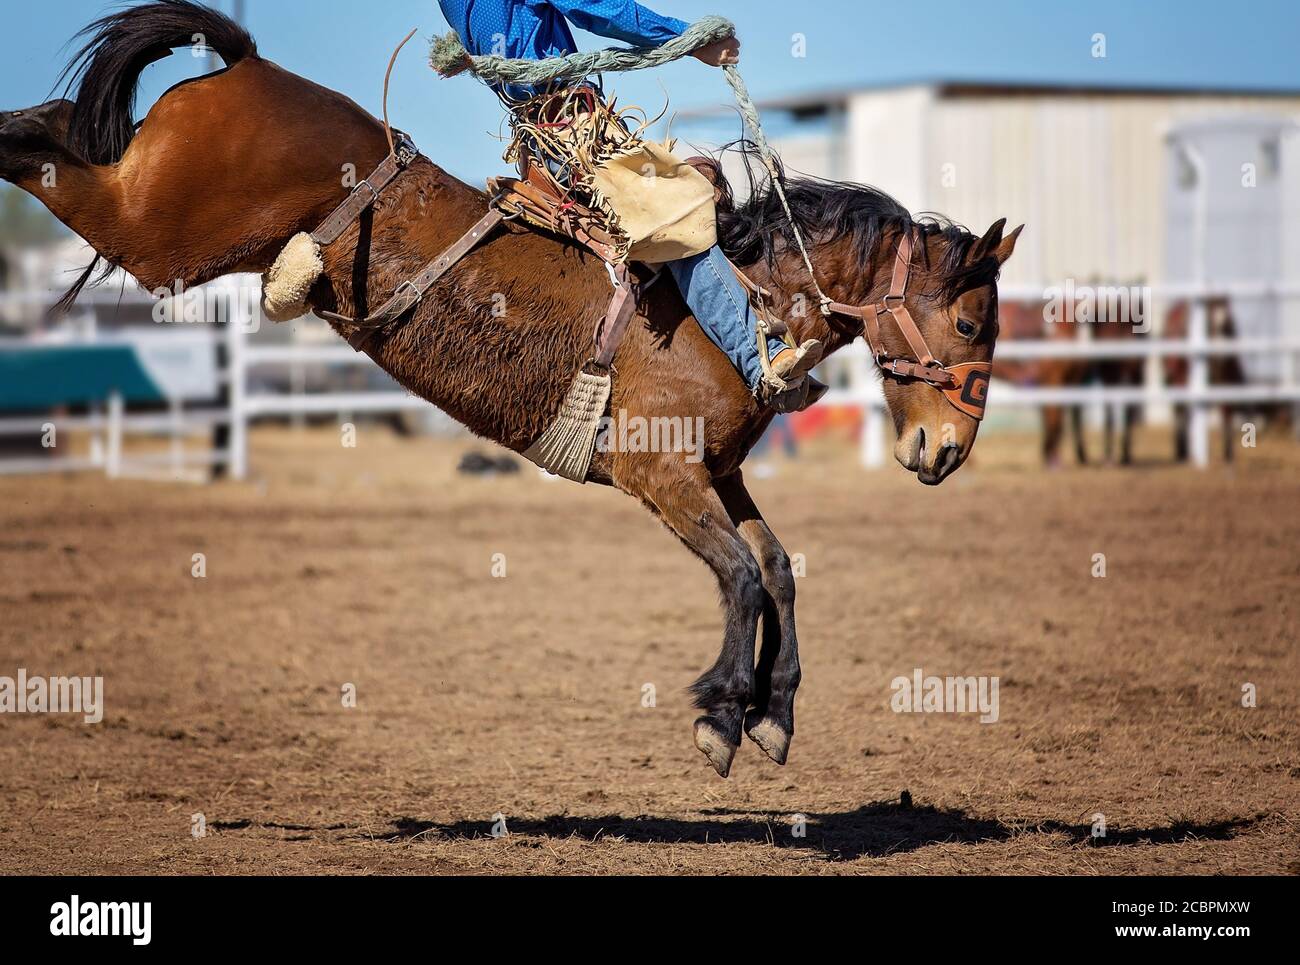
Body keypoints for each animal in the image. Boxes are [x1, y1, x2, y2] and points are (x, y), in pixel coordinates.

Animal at [0, 0, 1021, 777]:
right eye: (974, 325)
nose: (946, 451)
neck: (744, 300)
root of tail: (248, 65)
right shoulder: (663, 475)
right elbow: (738, 574)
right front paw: (721, 713)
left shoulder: (716, 472)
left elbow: (776, 568)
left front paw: (773, 716)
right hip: (153, 231)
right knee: (38, 149)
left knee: (48, 127)